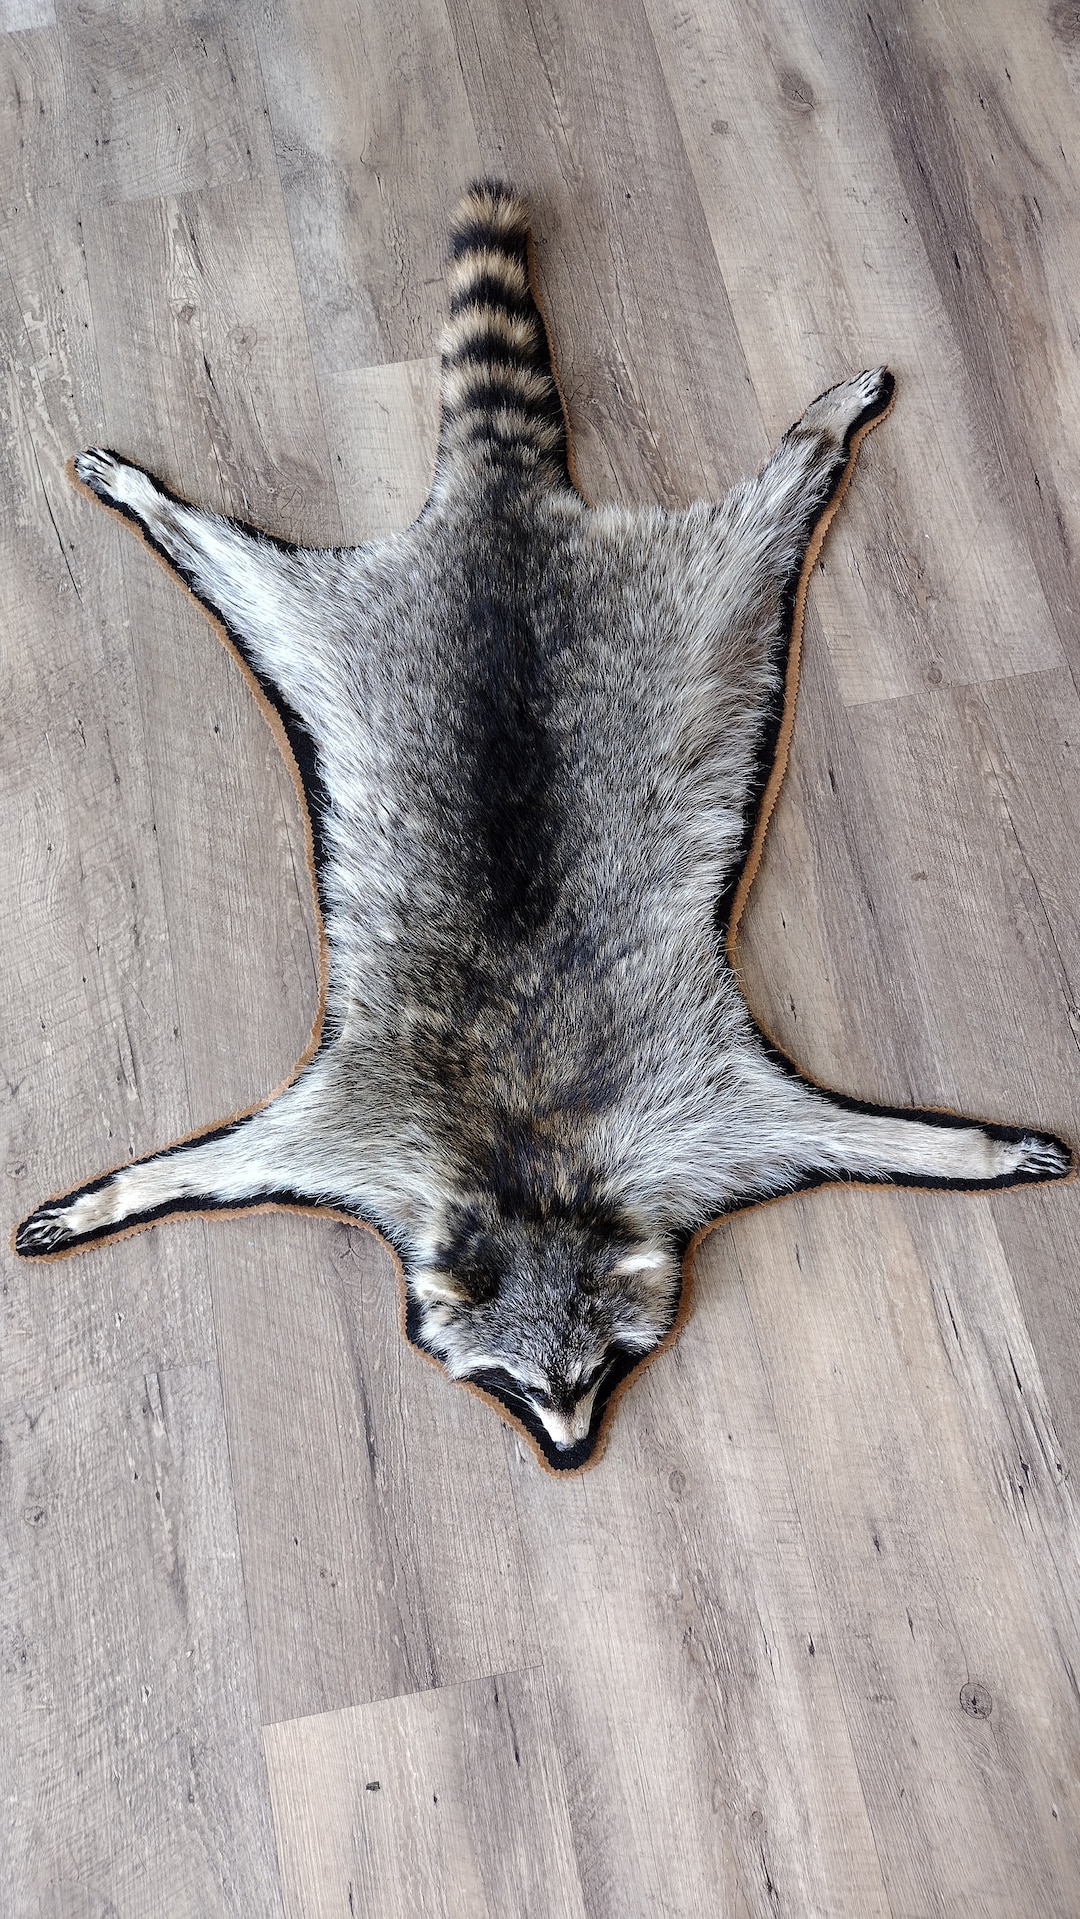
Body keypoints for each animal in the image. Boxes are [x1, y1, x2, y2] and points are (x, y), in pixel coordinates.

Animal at [15, 182, 1071, 1470]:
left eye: (603, 1367)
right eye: (515, 1383)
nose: (568, 1457)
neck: (536, 1181)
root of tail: (499, 516)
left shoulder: (697, 1116)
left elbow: (861, 1134)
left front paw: (969, 1145)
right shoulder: (362, 1125)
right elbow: (210, 1163)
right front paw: (118, 1192)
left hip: (679, 597)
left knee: (761, 523)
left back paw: (814, 440)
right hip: (350, 626)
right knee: (248, 571)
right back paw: (164, 506)